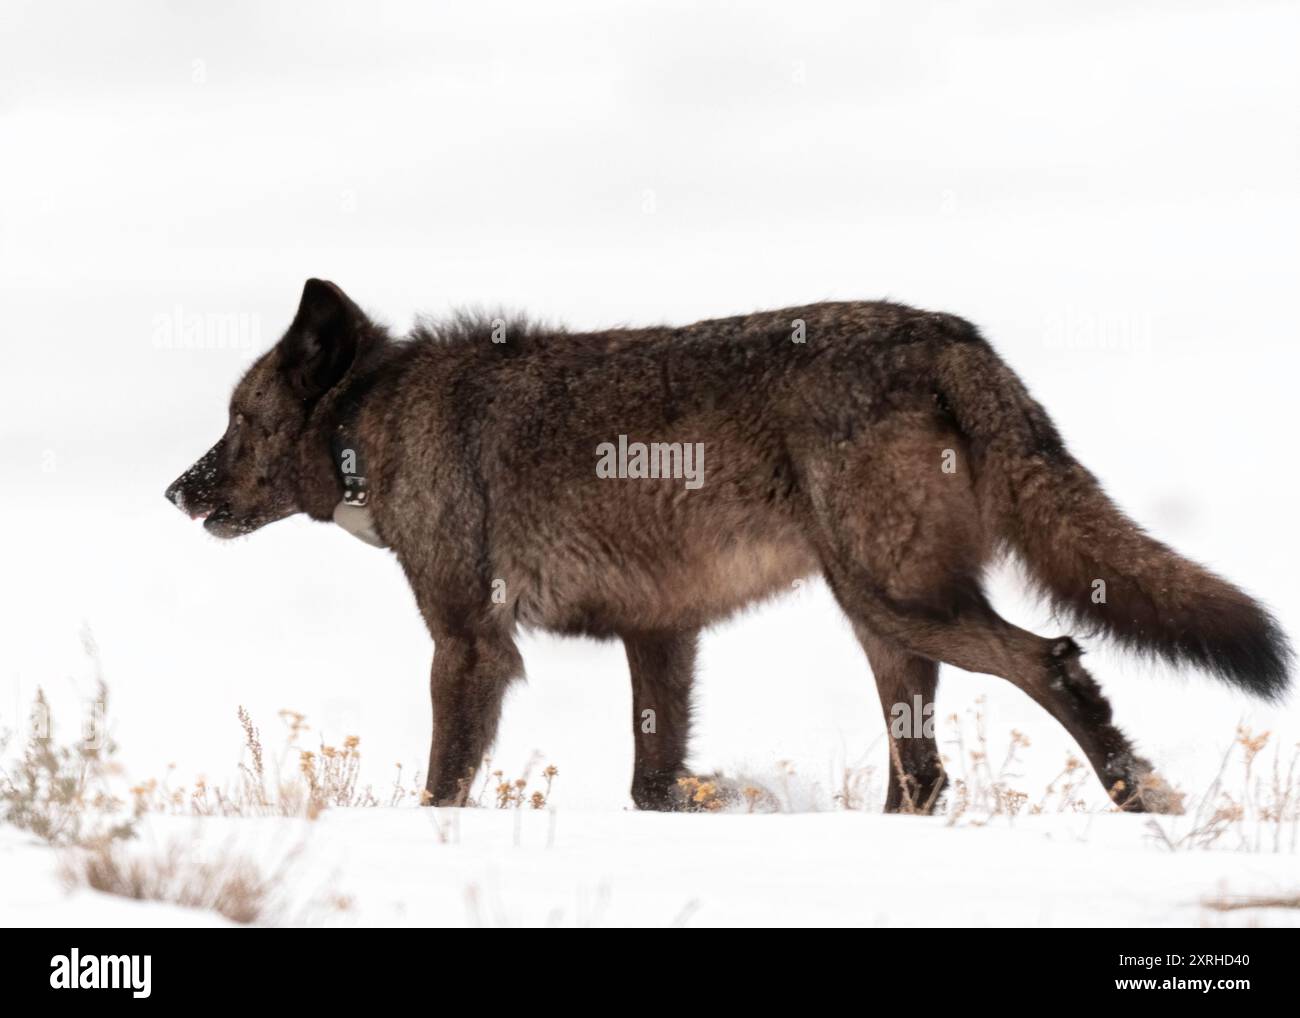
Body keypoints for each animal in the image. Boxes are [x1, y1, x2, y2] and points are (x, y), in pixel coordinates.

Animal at [165, 280, 1291, 812]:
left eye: (237, 423)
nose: (178, 492)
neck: (372, 424)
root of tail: (949, 333)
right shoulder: (661, 635)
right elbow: (654, 782)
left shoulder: (471, 646)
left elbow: (446, 780)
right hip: (884, 627)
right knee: (922, 776)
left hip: (893, 605)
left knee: (1051, 662)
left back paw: (1138, 799)